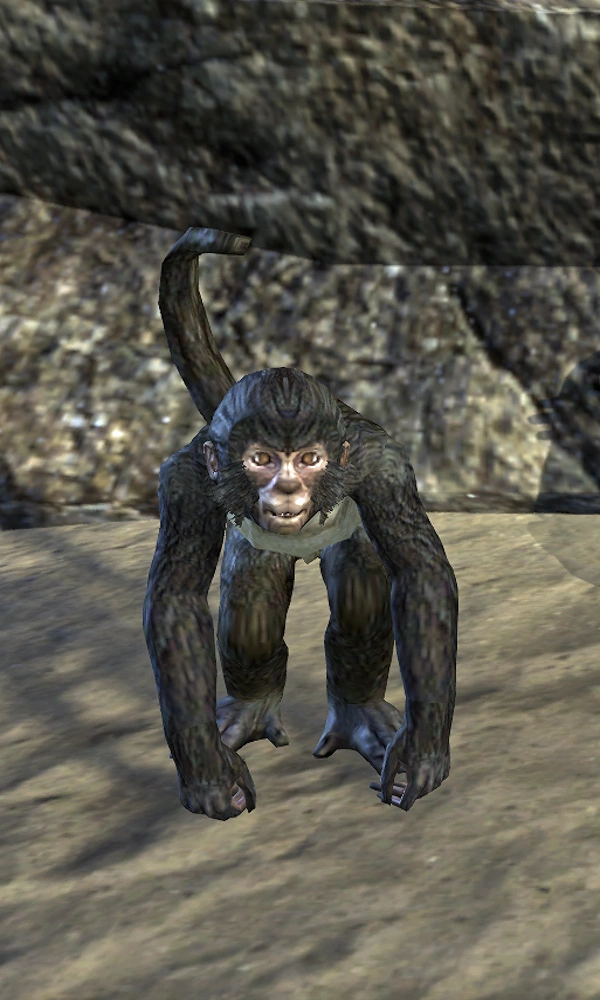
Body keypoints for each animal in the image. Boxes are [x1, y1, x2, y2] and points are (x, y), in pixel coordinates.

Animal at [143, 227, 458, 822]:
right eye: (262, 459)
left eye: (309, 459)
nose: (287, 488)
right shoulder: (186, 484)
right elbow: (176, 602)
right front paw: (209, 774)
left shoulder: (383, 468)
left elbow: (420, 576)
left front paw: (422, 751)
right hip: (254, 551)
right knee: (252, 624)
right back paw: (251, 706)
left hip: (353, 538)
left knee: (359, 603)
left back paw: (358, 714)